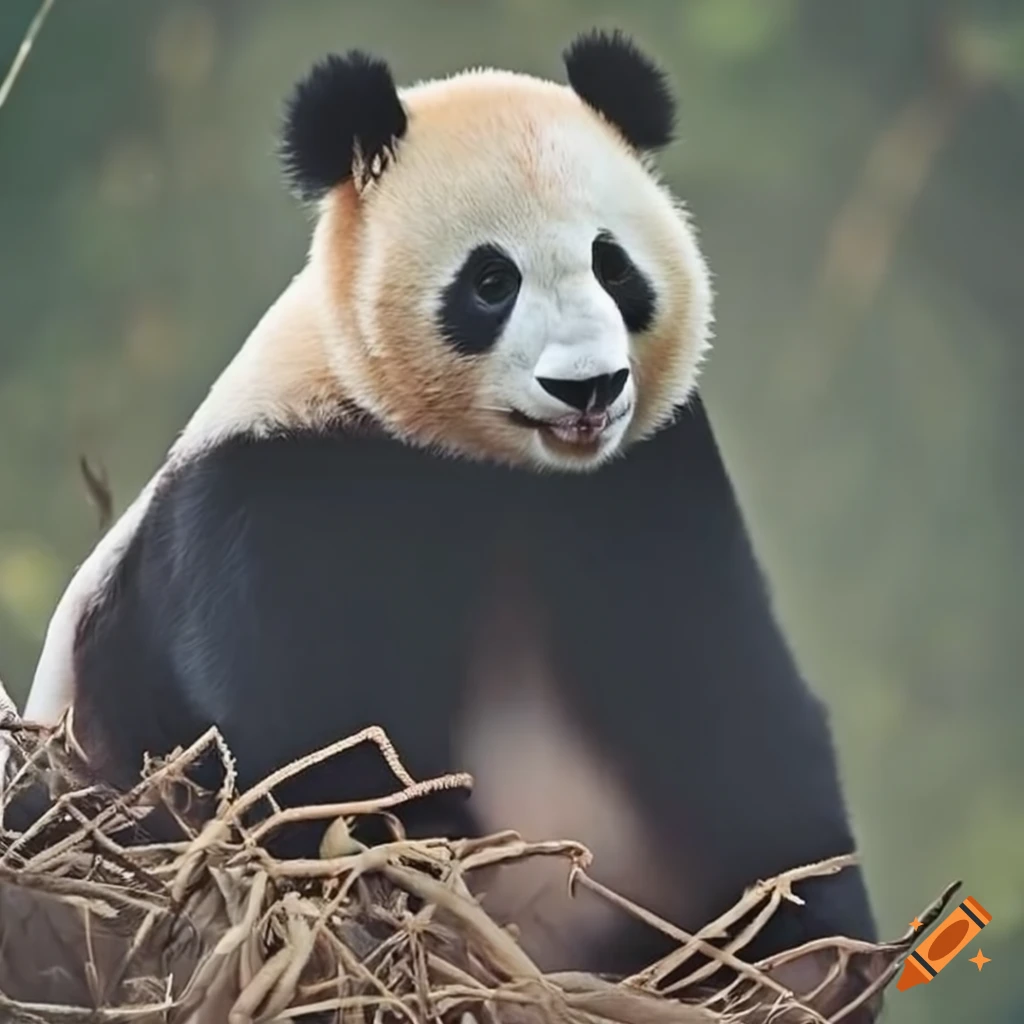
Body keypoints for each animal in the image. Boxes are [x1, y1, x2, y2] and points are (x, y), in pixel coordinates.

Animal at [20, 28, 879, 1017]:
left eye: (612, 263)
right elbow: (313, 746)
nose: (587, 388)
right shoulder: (274, 490)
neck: (493, 467)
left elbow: (730, 699)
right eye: (491, 281)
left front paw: (812, 951)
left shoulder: (648, 481)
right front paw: (415, 891)